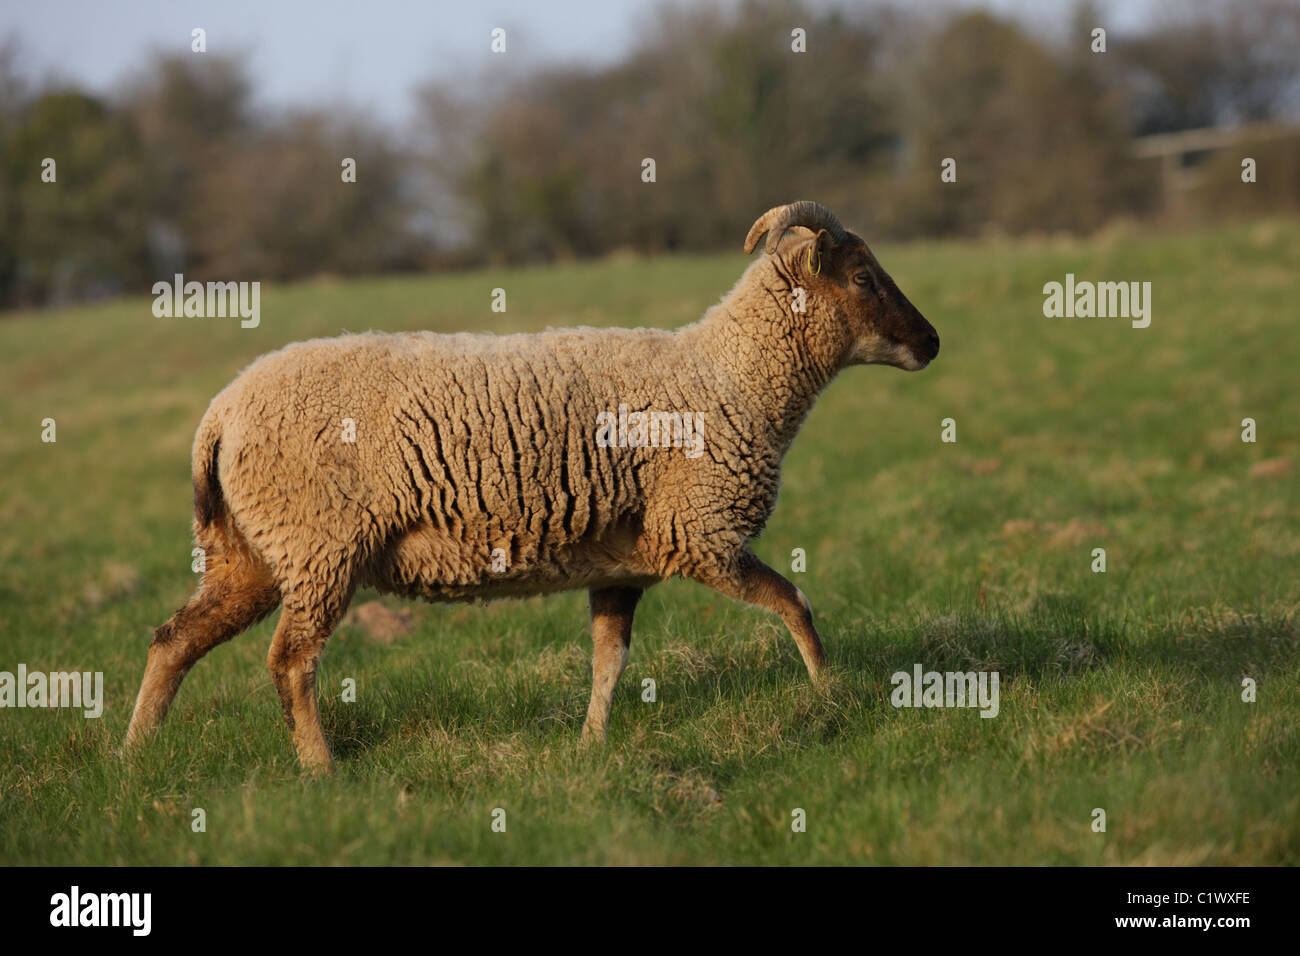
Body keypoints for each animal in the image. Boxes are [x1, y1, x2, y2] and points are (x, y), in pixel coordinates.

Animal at [124, 201, 940, 773]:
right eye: (863, 278)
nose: (932, 342)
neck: (729, 375)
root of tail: (221, 412)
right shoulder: (700, 533)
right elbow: (795, 604)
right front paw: (830, 697)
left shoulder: (625, 567)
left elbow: (609, 663)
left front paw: (589, 750)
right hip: (318, 546)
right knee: (289, 663)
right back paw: (322, 772)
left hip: (250, 555)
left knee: (172, 641)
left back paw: (135, 759)